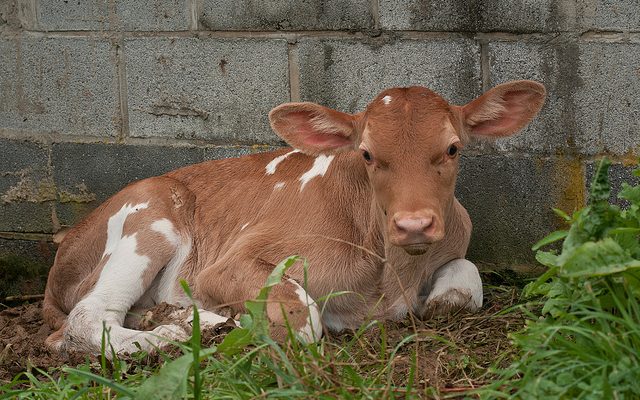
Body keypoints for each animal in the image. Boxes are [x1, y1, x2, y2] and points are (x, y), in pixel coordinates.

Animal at [42, 80, 545, 355]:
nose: (414, 224)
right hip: (150, 216)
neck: (388, 271)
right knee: (85, 320)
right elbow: (303, 319)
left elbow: (466, 279)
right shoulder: (225, 266)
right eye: (367, 154)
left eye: (453, 148)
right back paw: (180, 328)